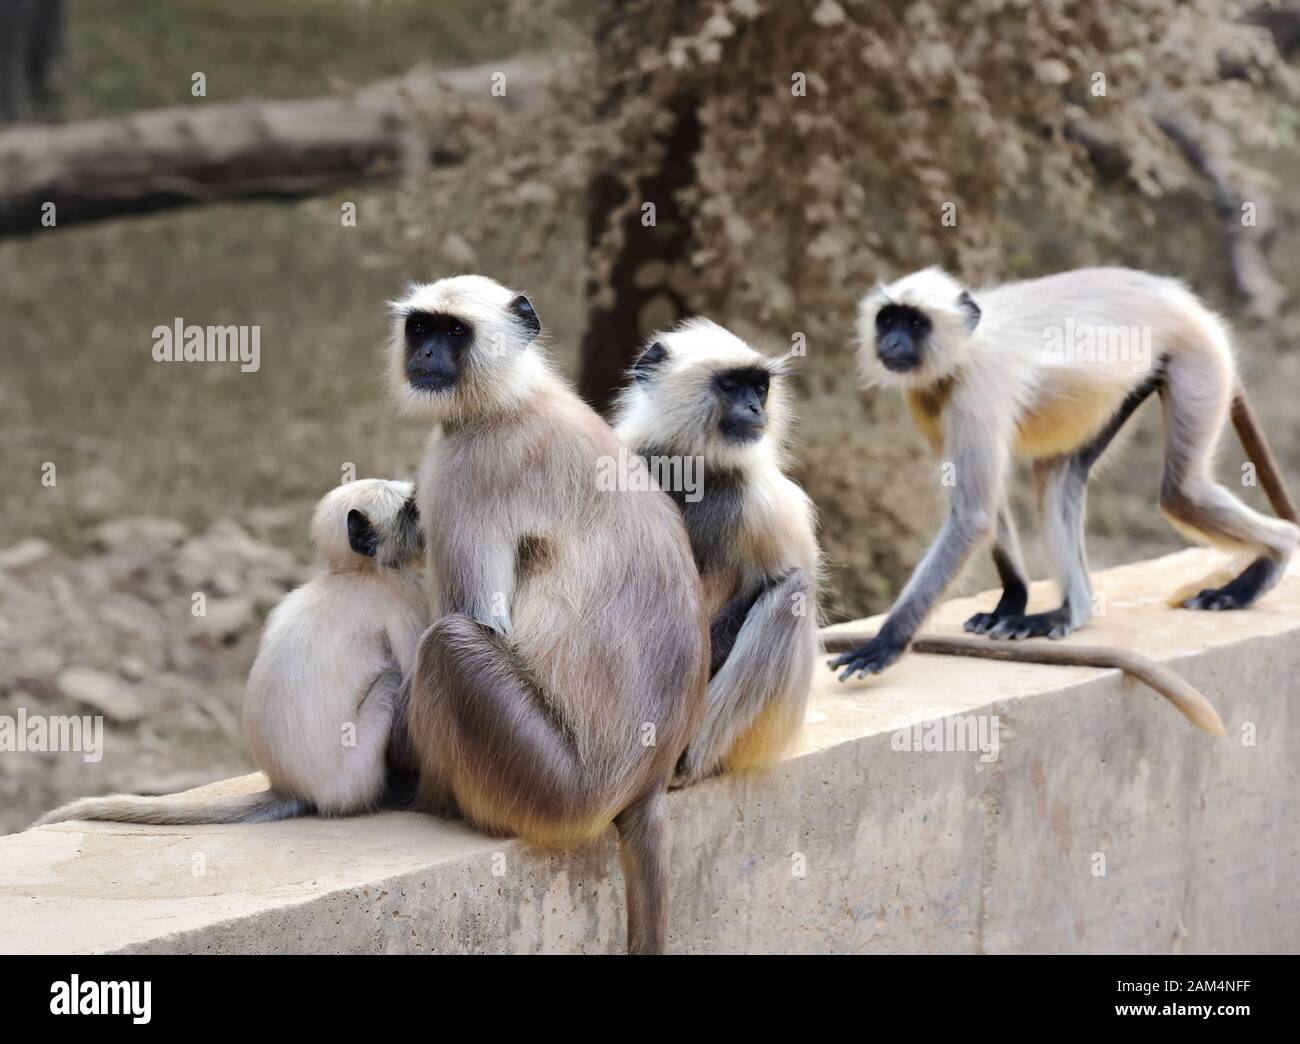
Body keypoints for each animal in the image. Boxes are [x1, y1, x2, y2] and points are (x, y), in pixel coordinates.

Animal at [33, 479, 428, 827]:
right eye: (410, 510)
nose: (424, 519)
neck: (354, 574)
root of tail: (290, 786)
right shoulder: (397, 597)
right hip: (353, 773)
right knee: (390, 680)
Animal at [388, 275, 709, 955]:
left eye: (454, 332)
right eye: (421, 327)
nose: (425, 355)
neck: (513, 399)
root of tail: (645, 785)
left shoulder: (468, 468)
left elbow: (480, 620)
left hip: (550, 788)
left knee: (450, 644)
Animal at [611, 319, 820, 786]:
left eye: (759, 387)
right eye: (730, 385)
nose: (755, 409)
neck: (693, 468)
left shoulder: (759, 499)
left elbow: (785, 579)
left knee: (792, 593)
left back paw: (680, 764)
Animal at [831, 266, 1299, 682]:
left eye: (915, 322)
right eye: (888, 319)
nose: (892, 340)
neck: (965, 347)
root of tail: (1183, 300)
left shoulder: (977, 389)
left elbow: (972, 516)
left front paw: (886, 643)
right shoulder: (928, 397)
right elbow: (986, 504)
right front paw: (1012, 602)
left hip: (1197, 356)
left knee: (1182, 493)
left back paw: (1268, 563)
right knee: (1060, 478)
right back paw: (1071, 611)